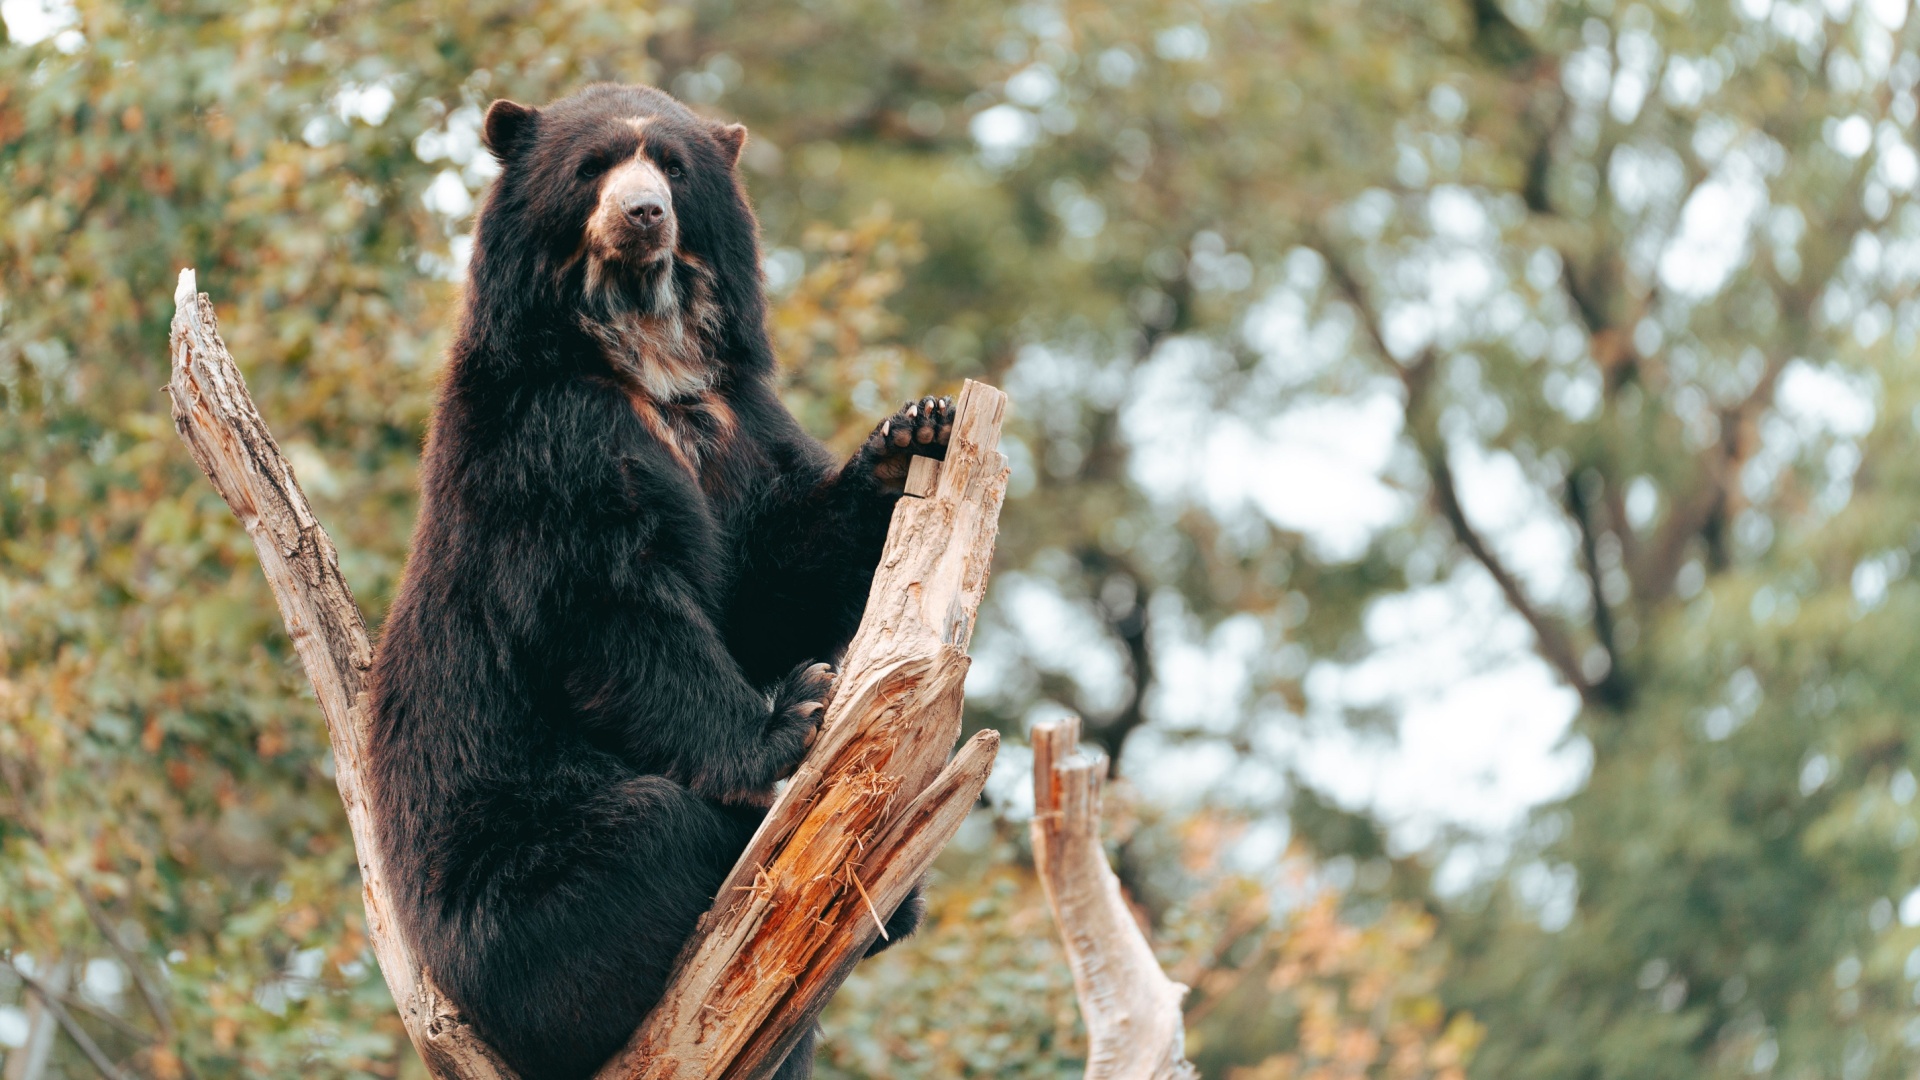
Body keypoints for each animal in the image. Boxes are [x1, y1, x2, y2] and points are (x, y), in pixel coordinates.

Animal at [365, 83, 951, 1080]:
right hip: (511, 896)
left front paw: (910, 432)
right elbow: (612, 603)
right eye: (594, 166)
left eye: (673, 168)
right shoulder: (546, 441)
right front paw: (788, 718)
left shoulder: (737, 422)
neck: (646, 353)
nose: (644, 215)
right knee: (646, 832)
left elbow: (772, 577)